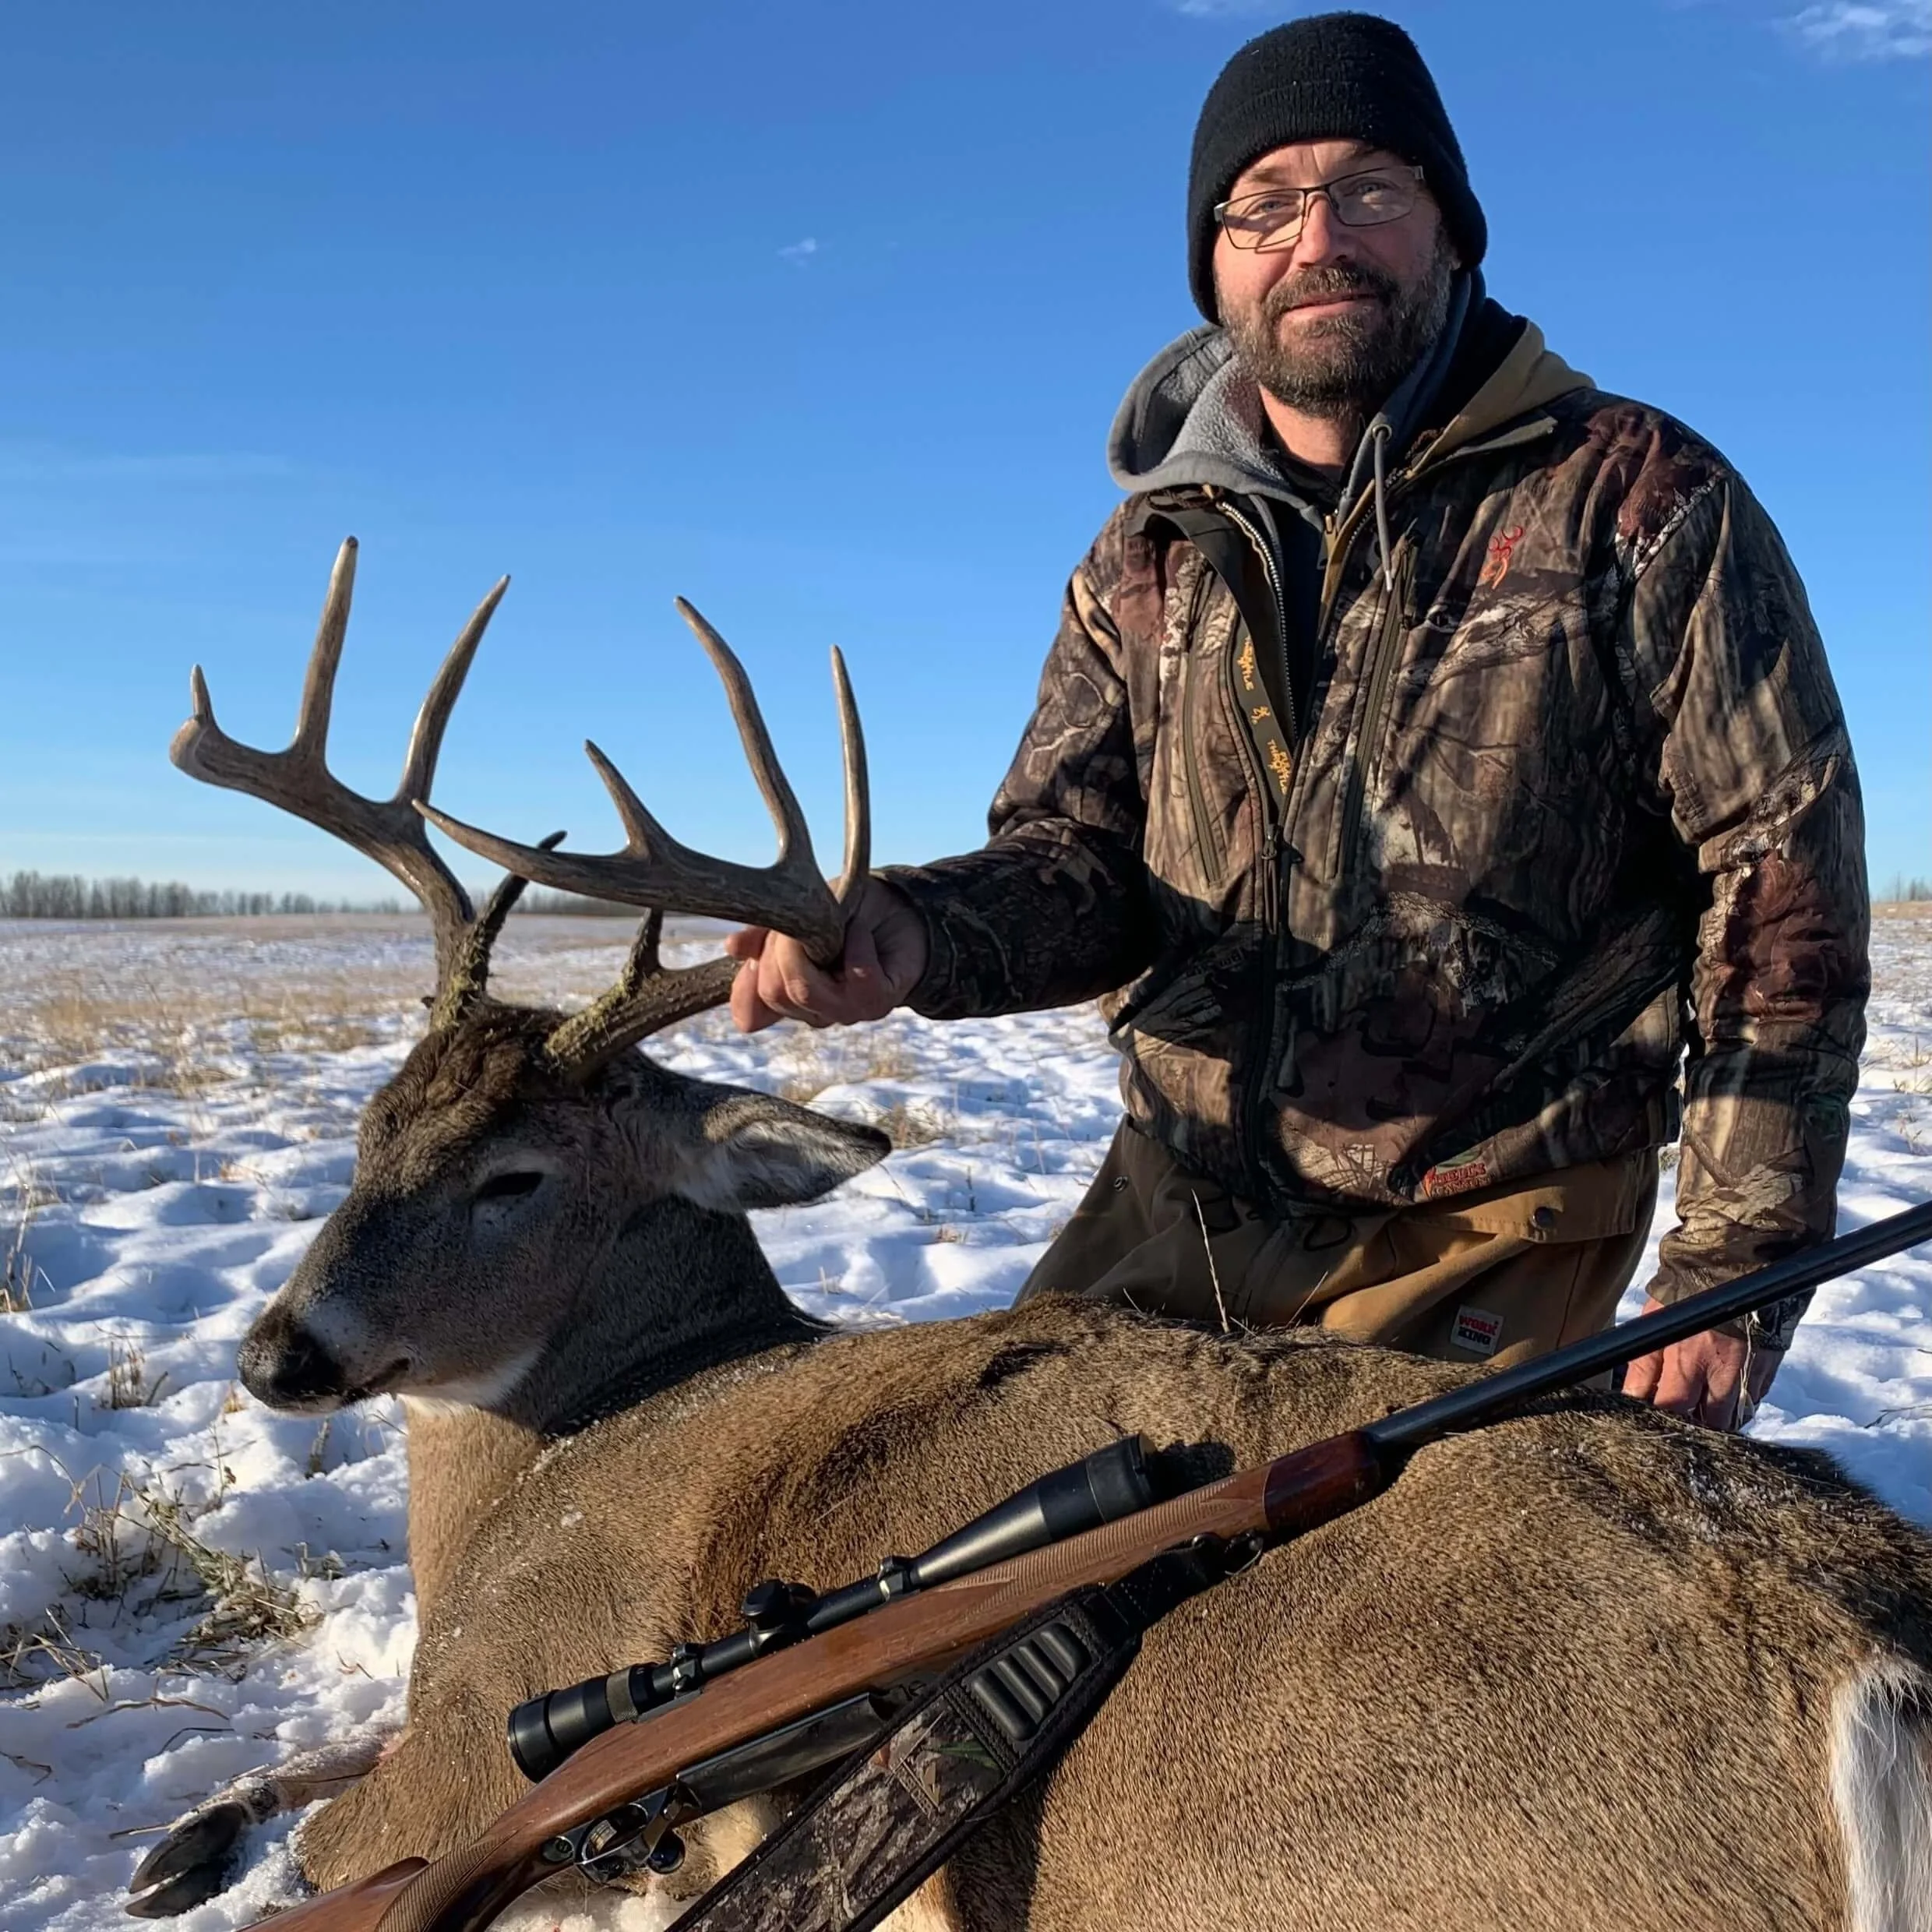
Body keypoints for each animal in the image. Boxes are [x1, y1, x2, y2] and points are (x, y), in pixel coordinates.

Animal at [128, 539, 1932, 1932]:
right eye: (370, 1122)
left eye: (513, 1177)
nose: (278, 1354)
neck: (546, 1455)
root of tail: (1880, 1670)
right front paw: (172, 1839)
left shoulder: (507, 1696)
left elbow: (330, 1836)